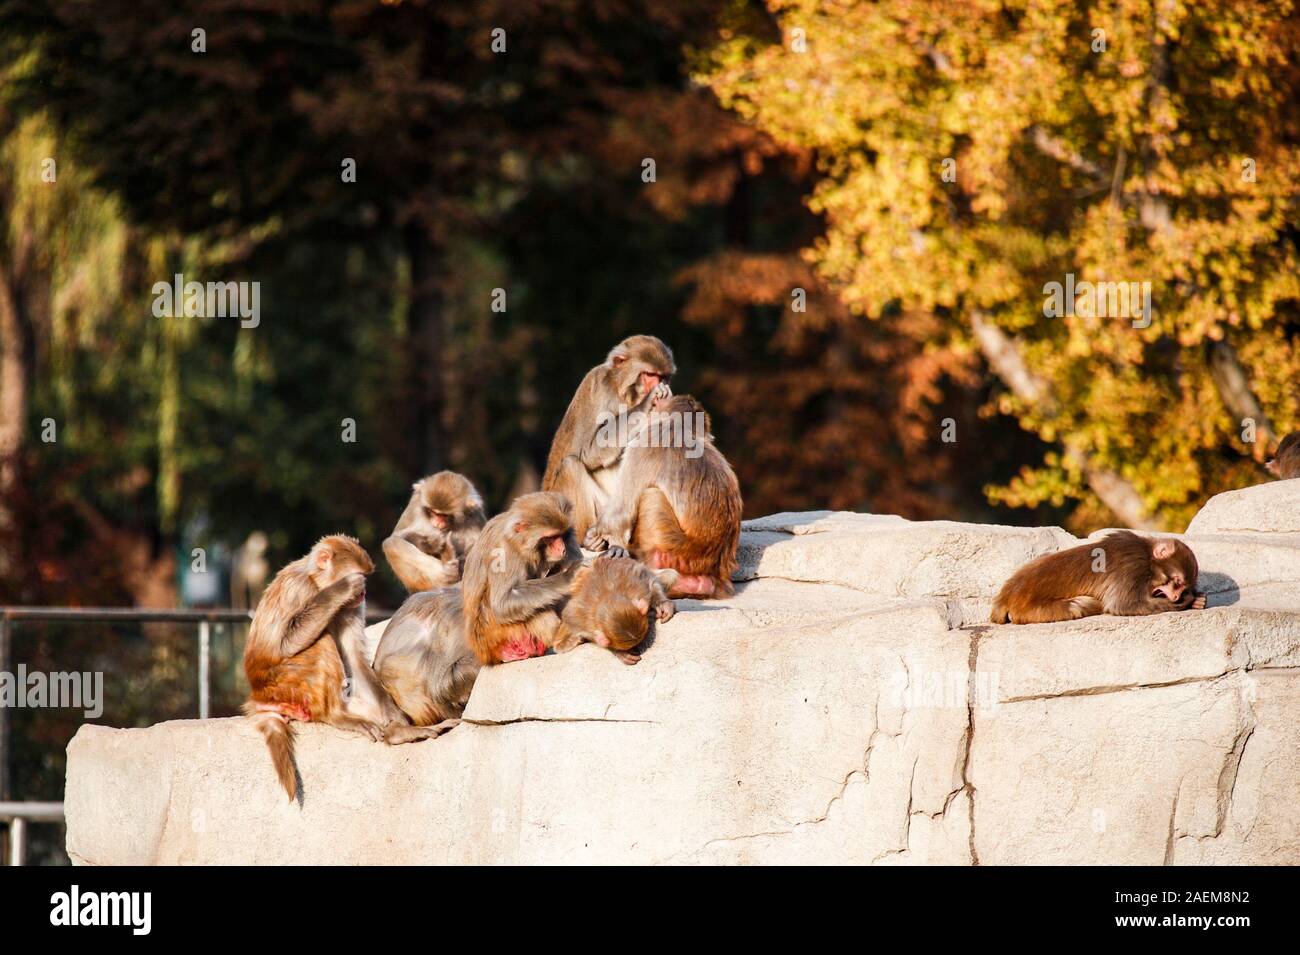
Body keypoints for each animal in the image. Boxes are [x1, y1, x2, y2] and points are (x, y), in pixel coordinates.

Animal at [242, 535, 411, 800]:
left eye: (367, 578)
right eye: (360, 578)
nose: (363, 593)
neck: (316, 582)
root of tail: (258, 694)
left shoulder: (349, 608)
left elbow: (354, 657)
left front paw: (395, 717)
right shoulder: (298, 589)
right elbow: (284, 644)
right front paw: (342, 588)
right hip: (283, 683)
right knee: (321, 641)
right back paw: (338, 715)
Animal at [461, 490, 583, 665]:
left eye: (561, 535)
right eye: (550, 538)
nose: (562, 548)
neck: (518, 541)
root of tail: (486, 653)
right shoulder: (505, 550)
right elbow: (503, 602)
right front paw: (569, 576)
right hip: (495, 631)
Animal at [543, 335, 676, 541]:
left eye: (663, 376)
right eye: (650, 375)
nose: (660, 385)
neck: (624, 393)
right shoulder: (599, 387)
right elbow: (588, 450)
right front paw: (647, 402)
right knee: (570, 466)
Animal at [583, 392, 742, 599]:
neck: (680, 427)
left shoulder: (647, 442)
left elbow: (622, 511)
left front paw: (597, 536)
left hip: (672, 549)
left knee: (651, 496)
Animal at [989, 530, 1207, 625]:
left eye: (1182, 586)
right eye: (1177, 583)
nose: (1177, 596)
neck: (1148, 556)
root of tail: (1007, 593)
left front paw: (1195, 599)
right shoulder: (1133, 566)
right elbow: (1122, 604)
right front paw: (1190, 602)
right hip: (1030, 610)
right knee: (1079, 605)